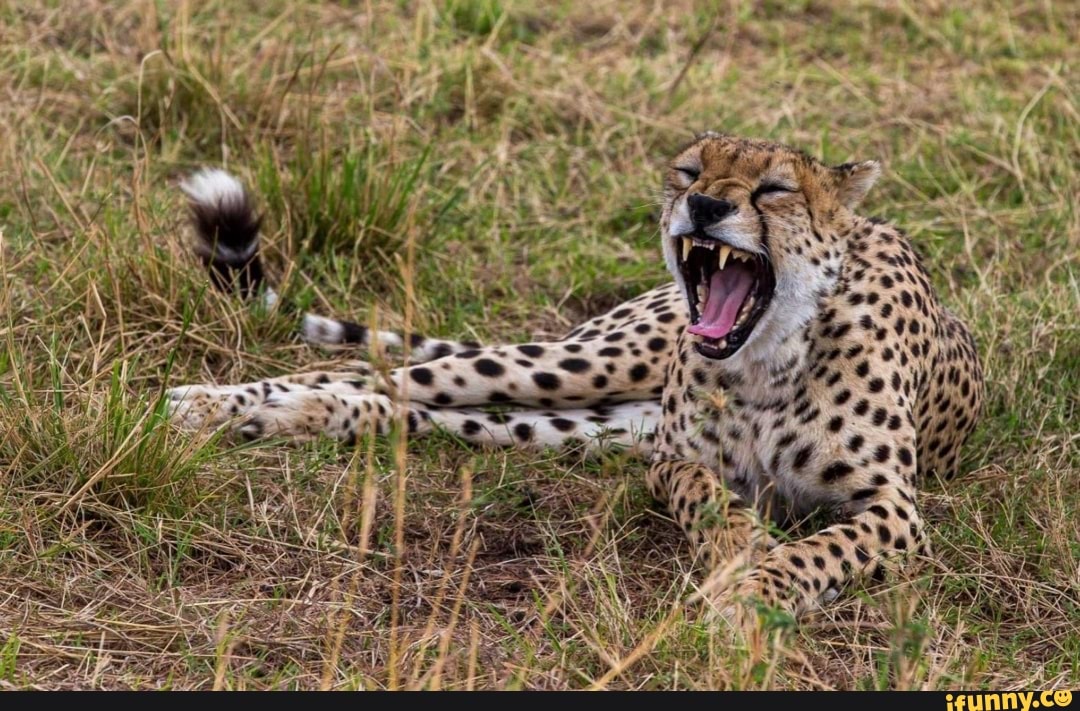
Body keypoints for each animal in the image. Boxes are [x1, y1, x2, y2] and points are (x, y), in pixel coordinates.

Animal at [166, 132, 985, 626]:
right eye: (691, 172)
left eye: (775, 189)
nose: (704, 205)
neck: (763, 359)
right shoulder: (673, 460)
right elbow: (713, 501)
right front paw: (742, 551)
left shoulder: (893, 507)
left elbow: (816, 549)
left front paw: (749, 591)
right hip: (586, 365)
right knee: (393, 371)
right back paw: (220, 404)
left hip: (580, 427)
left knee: (405, 405)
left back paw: (278, 415)